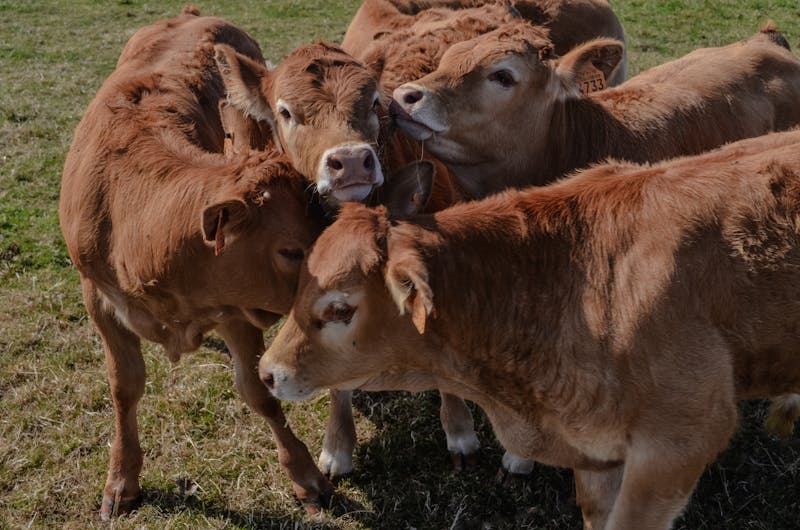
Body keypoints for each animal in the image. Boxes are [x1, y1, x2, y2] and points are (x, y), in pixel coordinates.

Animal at [58, 9, 337, 517]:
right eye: (291, 250)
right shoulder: (98, 299)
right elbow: (124, 388)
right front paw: (121, 481)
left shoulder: (234, 306)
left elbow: (259, 393)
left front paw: (306, 477)